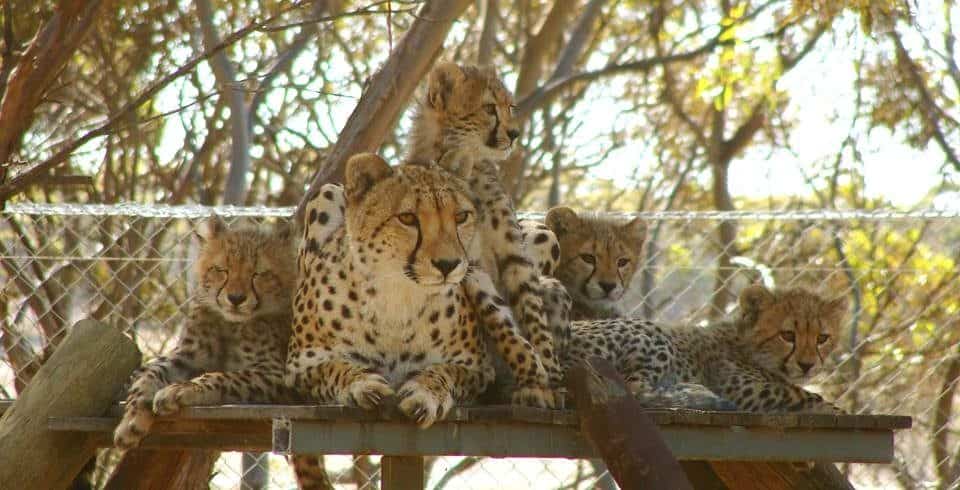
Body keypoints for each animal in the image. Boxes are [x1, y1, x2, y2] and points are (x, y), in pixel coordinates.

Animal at [113, 217, 298, 450]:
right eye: (221, 269)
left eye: (259, 273)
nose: (236, 298)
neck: (230, 324)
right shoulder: (185, 357)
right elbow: (151, 373)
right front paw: (131, 420)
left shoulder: (276, 373)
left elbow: (226, 376)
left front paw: (181, 389)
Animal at [284, 153, 554, 429]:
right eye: (407, 218)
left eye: (461, 216)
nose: (448, 264)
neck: (397, 295)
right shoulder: (298, 367)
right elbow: (333, 368)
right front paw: (362, 383)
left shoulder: (479, 370)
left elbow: (446, 372)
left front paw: (425, 393)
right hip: (327, 192)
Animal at [561, 285, 848, 413]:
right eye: (787, 335)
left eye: (822, 338)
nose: (807, 365)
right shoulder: (740, 388)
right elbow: (798, 394)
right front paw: (834, 408)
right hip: (654, 335)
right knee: (636, 390)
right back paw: (700, 395)